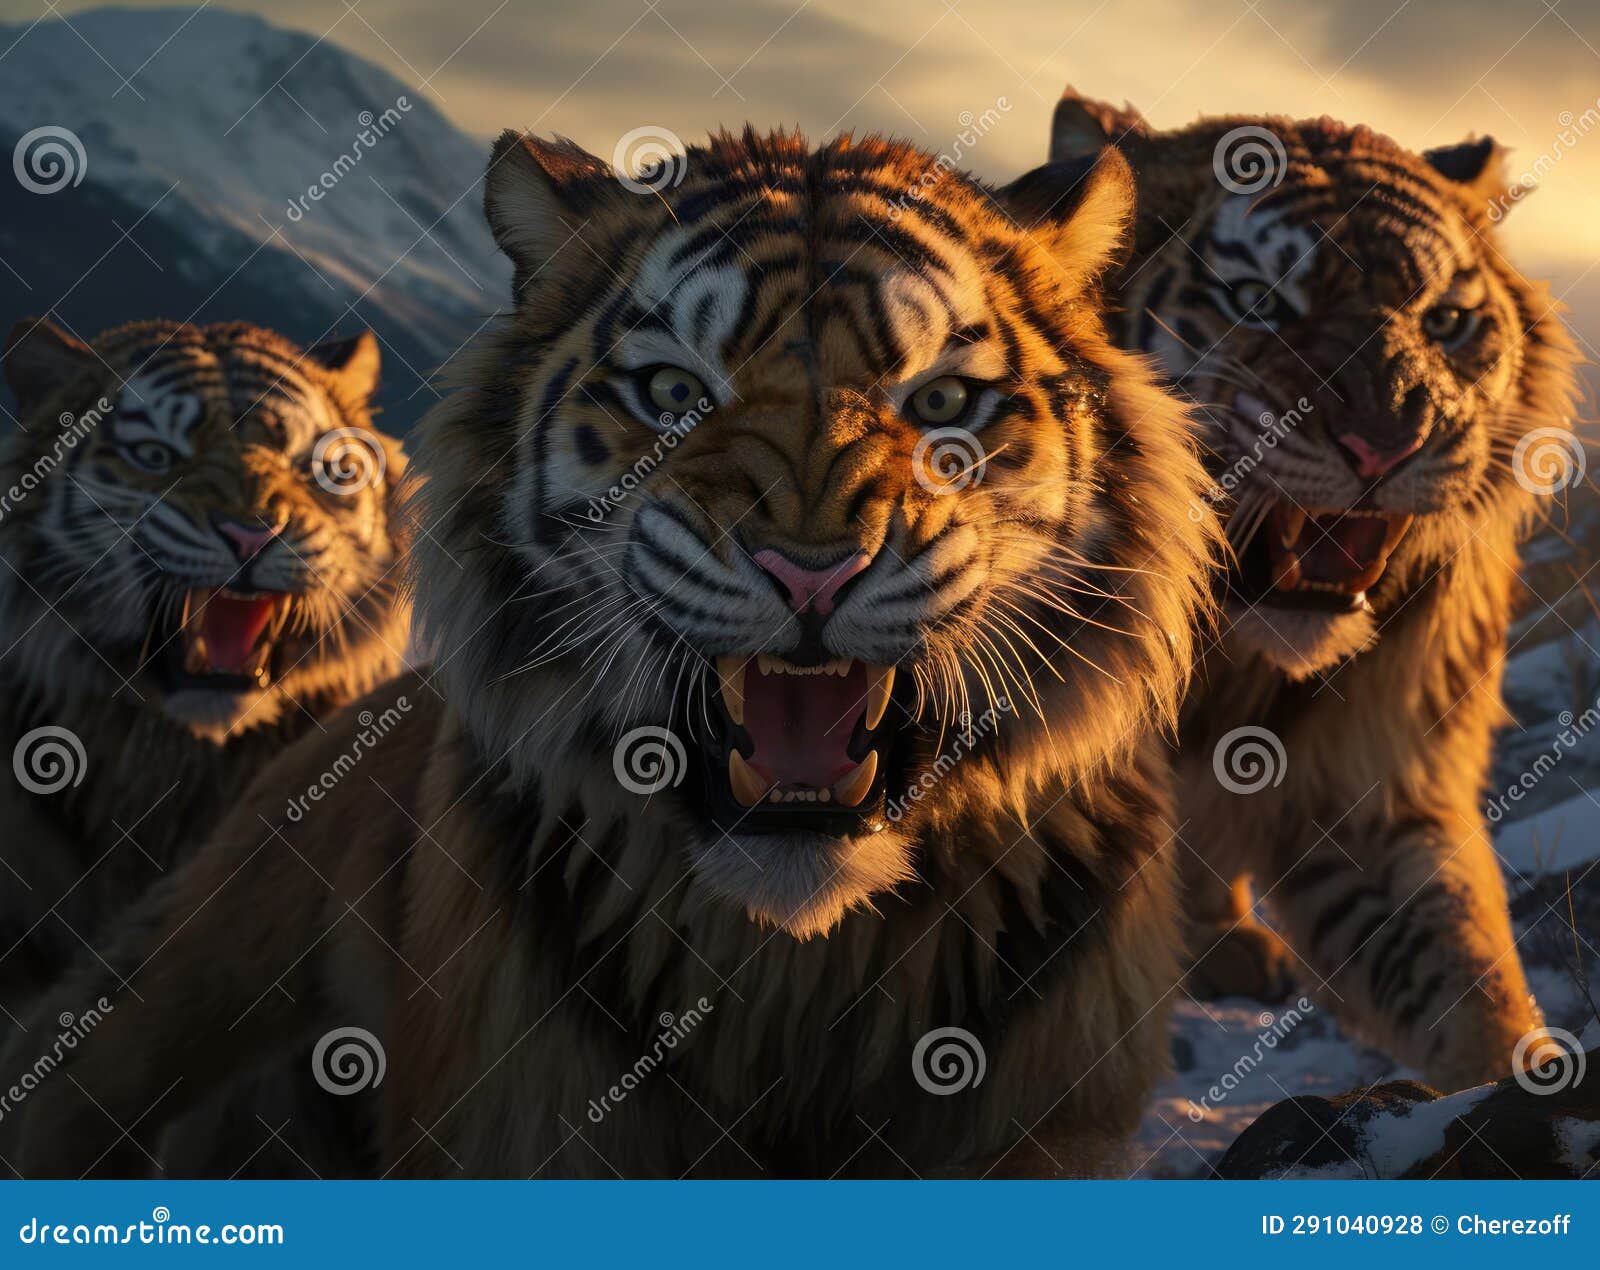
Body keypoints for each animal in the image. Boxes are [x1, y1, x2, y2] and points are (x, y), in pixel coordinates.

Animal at [1033, 91, 1582, 1092]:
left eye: (1445, 321)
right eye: (1258, 301)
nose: (1387, 442)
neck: (1227, 664)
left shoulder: (1375, 790)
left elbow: (1467, 980)